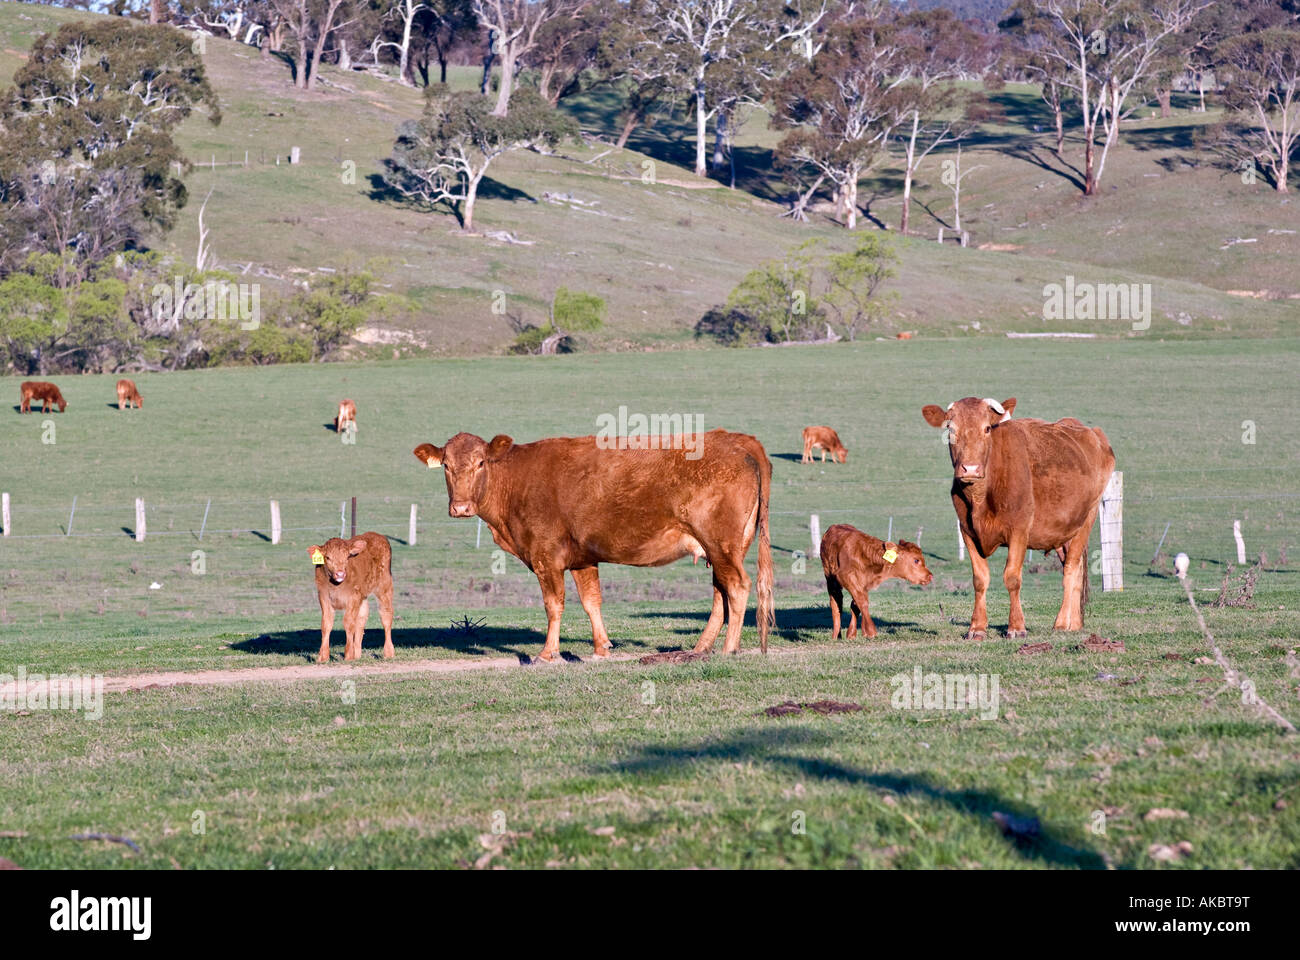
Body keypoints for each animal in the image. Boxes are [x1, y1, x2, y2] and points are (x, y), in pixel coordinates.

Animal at [307, 532, 395, 663]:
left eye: (347, 557)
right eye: (327, 557)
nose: (340, 574)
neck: (336, 585)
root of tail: (378, 535)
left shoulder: (353, 597)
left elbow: (348, 622)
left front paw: (348, 655)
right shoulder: (323, 597)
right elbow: (326, 624)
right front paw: (323, 657)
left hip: (384, 586)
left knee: (386, 615)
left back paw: (388, 653)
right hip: (363, 595)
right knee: (362, 619)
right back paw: (357, 654)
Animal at [413, 429, 774, 662]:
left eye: (480, 463)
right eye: (446, 465)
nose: (460, 507)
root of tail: (737, 439)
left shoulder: (546, 557)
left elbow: (554, 605)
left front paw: (548, 653)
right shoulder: (582, 559)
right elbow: (591, 601)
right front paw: (601, 648)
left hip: (721, 544)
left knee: (737, 586)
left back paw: (728, 649)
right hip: (724, 548)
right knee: (720, 592)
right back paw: (700, 648)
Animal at [921, 397, 1115, 640]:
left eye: (987, 429)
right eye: (951, 429)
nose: (970, 469)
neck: (981, 497)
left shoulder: (1019, 530)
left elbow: (1012, 577)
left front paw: (1016, 627)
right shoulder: (967, 531)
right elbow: (980, 580)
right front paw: (976, 628)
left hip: (1087, 518)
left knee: (1071, 569)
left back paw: (1061, 623)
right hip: (1064, 531)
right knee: (1077, 569)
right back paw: (1075, 623)